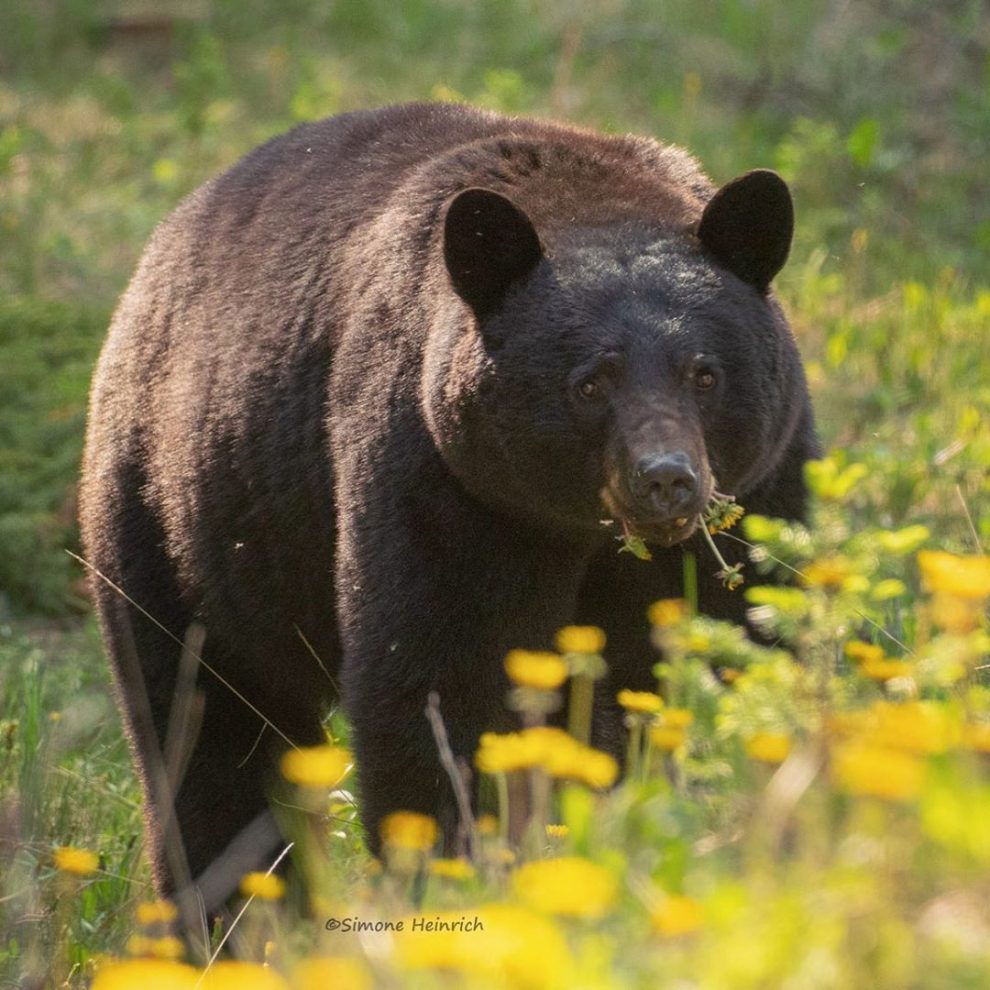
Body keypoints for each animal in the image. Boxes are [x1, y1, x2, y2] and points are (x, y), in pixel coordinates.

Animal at [79, 101, 818, 922]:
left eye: (704, 373)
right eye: (590, 383)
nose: (665, 481)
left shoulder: (765, 487)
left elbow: (750, 638)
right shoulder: (443, 482)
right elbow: (440, 684)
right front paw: (454, 872)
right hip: (181, 517)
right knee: (206, 725)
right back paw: (236, 919)